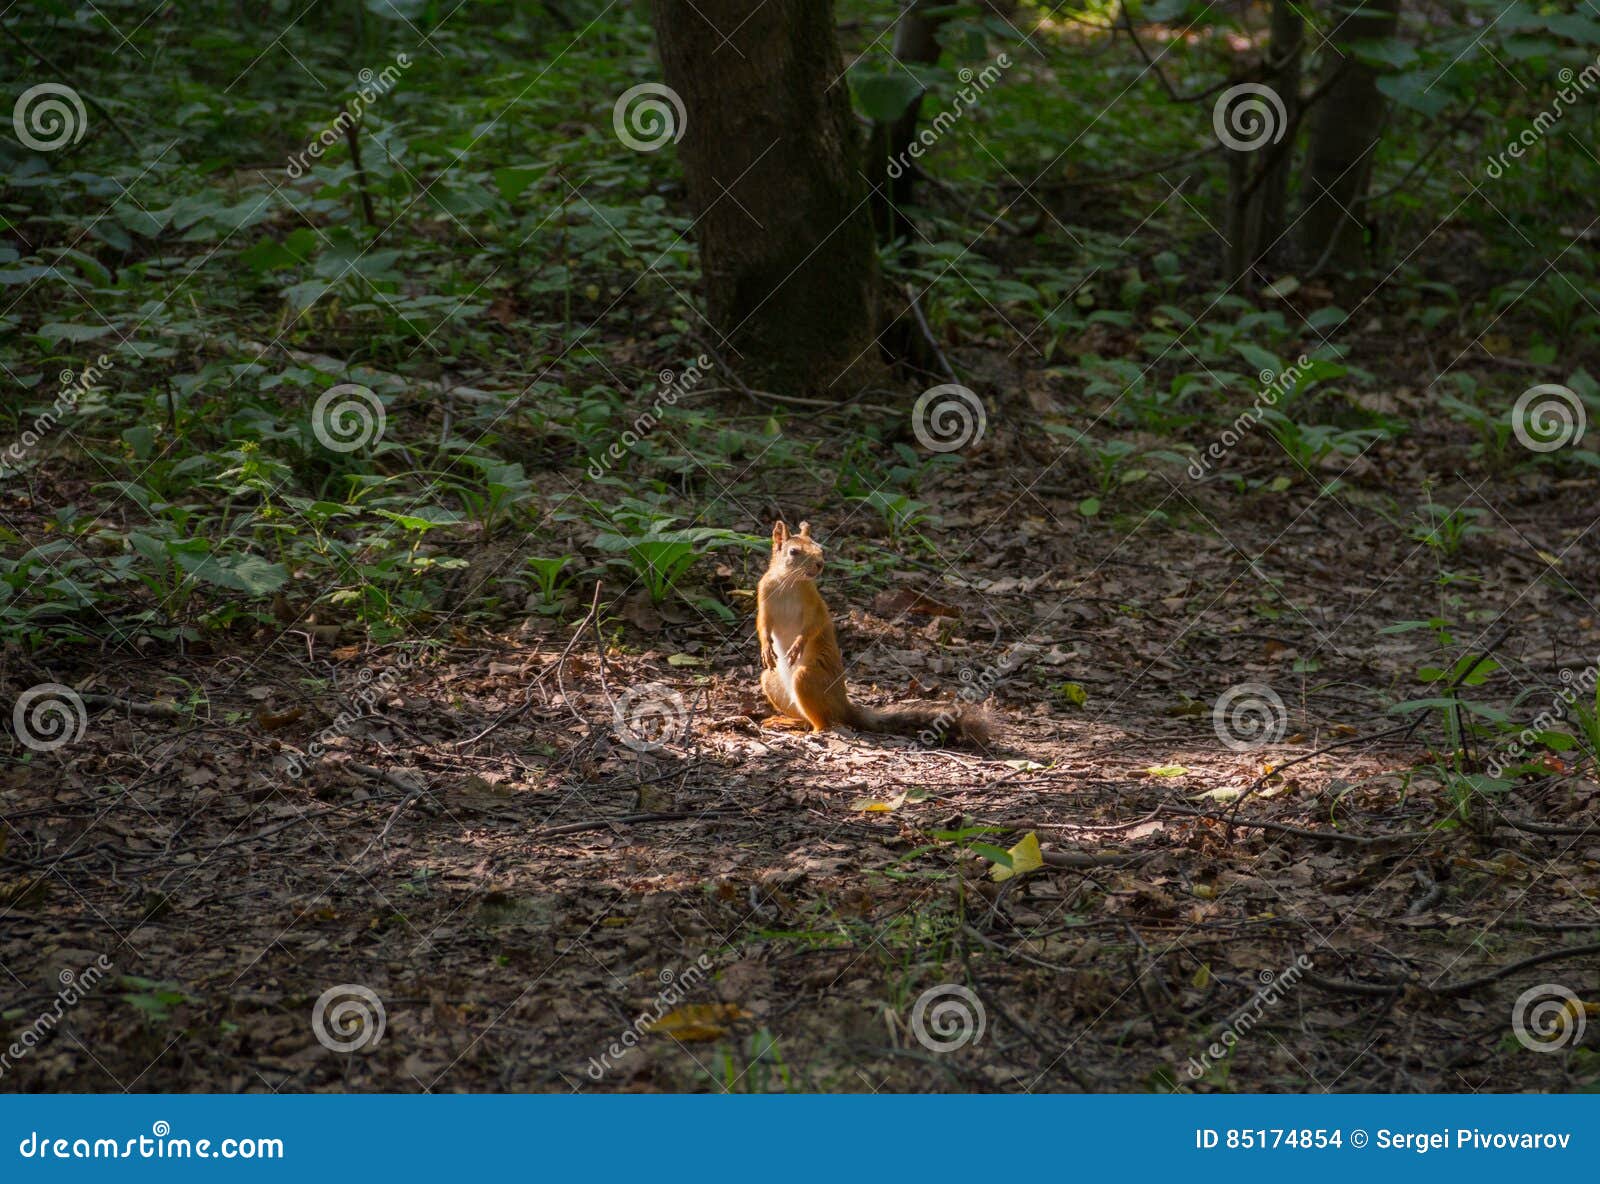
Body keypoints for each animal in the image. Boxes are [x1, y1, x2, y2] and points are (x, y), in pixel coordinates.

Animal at [755, 520, 990, 745]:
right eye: (793, 551)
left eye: (819, 548)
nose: (819, 564)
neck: (788, 582)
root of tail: (844, 705)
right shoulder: (764, 597)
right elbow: (763, 625)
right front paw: (766, 648)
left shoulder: (814, 604)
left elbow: (814, 625)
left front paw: (798, 645)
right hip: (771, 679)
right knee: (804, 715)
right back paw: (785, 721)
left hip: (807, 678)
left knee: (824, 721)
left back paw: (809, 731)